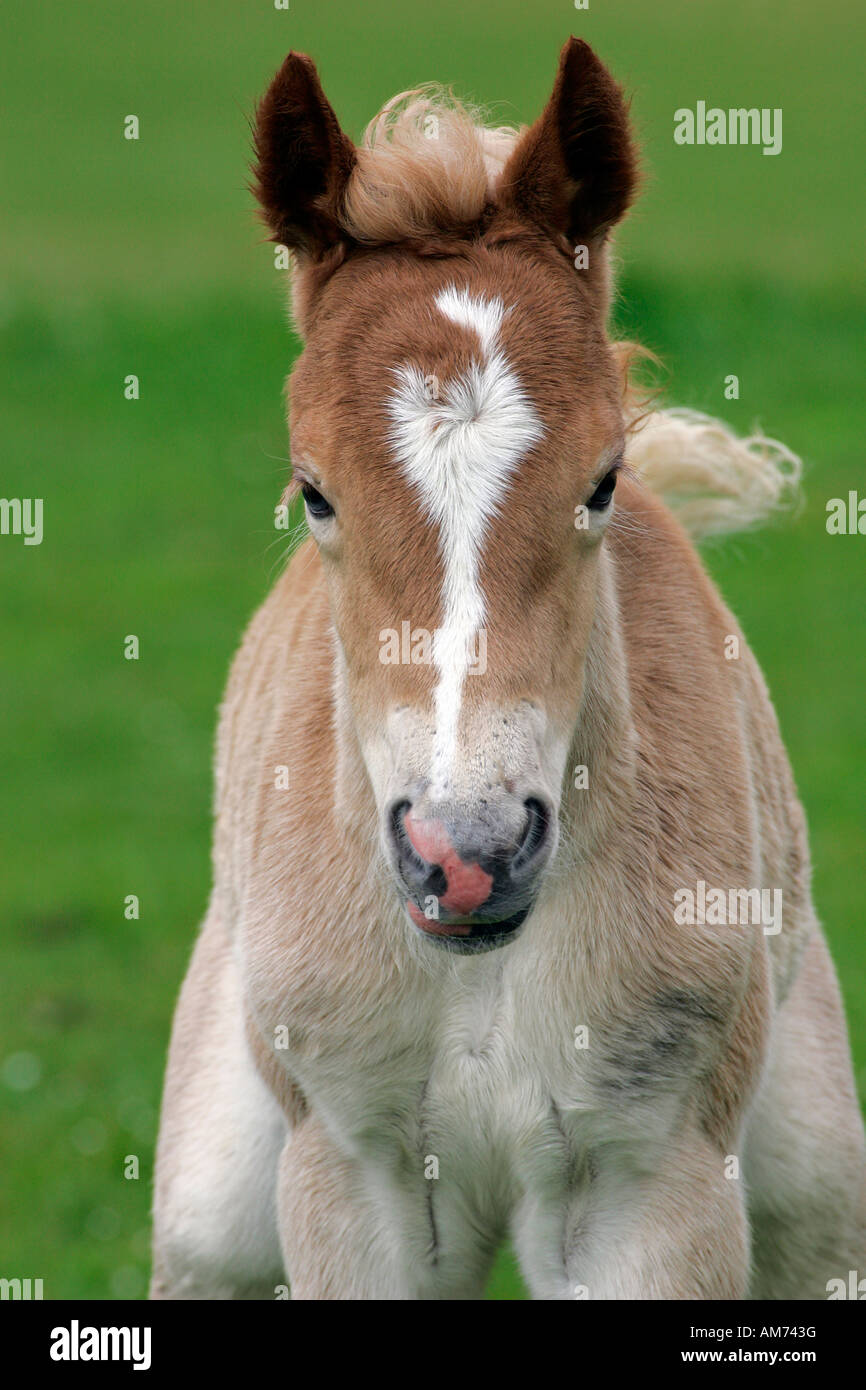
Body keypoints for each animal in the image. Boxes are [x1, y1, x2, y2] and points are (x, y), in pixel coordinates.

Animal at [150, 39, 866, 1300]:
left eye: (601, 480)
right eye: (312, 492)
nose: (466, 858)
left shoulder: (651, 1188)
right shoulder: (349, 1180)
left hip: (814, 1198)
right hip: (209, 1219)